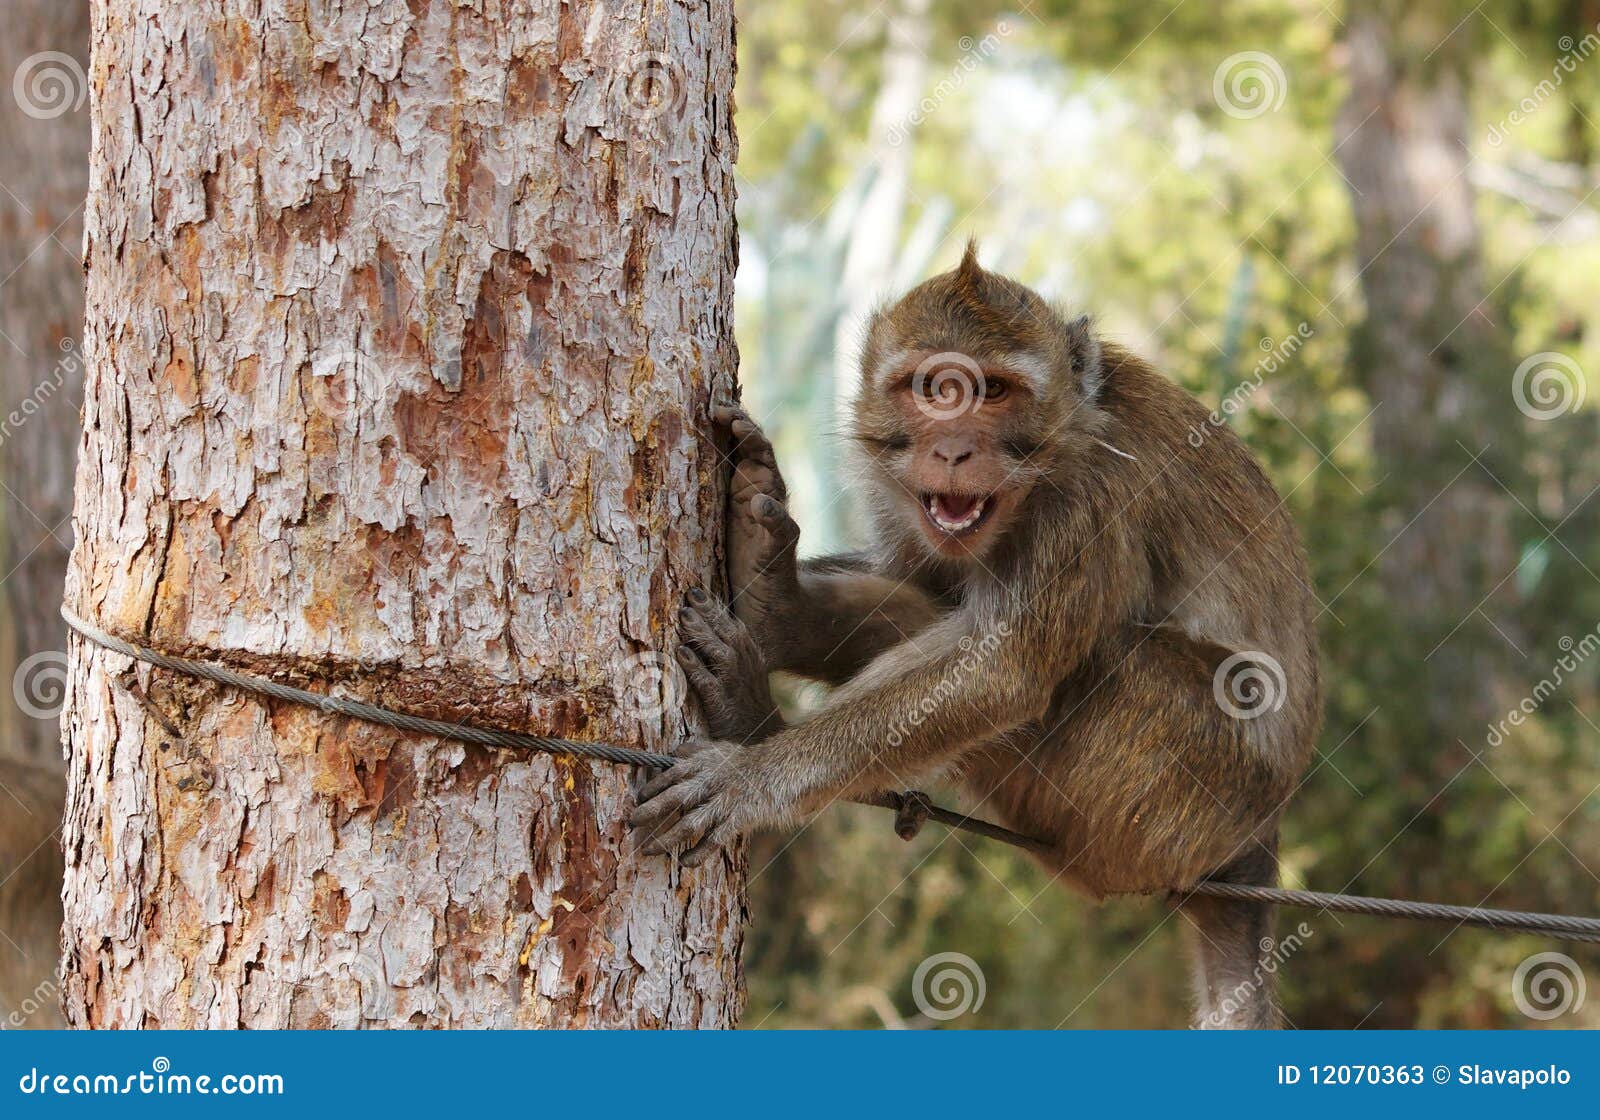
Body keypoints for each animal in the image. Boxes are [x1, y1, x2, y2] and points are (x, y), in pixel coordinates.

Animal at [634, 243, 1322, 1029]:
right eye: (933, 391)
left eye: (993, 392)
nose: (954, 451)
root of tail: (1259, 837)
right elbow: (927, 592)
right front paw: (780, 604)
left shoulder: (1093, 500)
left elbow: (1004, 672)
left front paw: (753, 776)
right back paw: (770, 614)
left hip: (1178, 788)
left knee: (1102, 658)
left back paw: (756, 721)